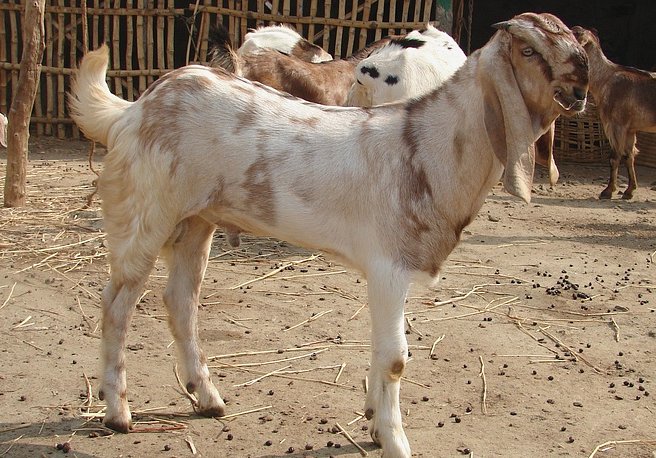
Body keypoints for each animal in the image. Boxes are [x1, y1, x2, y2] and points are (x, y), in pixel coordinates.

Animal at [69, 12, 588, 457]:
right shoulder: (389, 267)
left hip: (196, 221)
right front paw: (396, 441)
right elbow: (396, 357)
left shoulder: (386, 275)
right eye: (527, 50)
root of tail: (133, 110)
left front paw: (376, 424)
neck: (428, 148)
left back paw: (208, 398)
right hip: (144, 213)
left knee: (180, 301)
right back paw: (118, 412)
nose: (581, 82)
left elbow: (382, 350)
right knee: (116, 304)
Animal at [573, 26, 656, 199]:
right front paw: (629, 191)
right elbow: (629, 156)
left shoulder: (617, 125)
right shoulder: (630, 129)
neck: (606, 80)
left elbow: (615, 157)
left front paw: (608, 190)